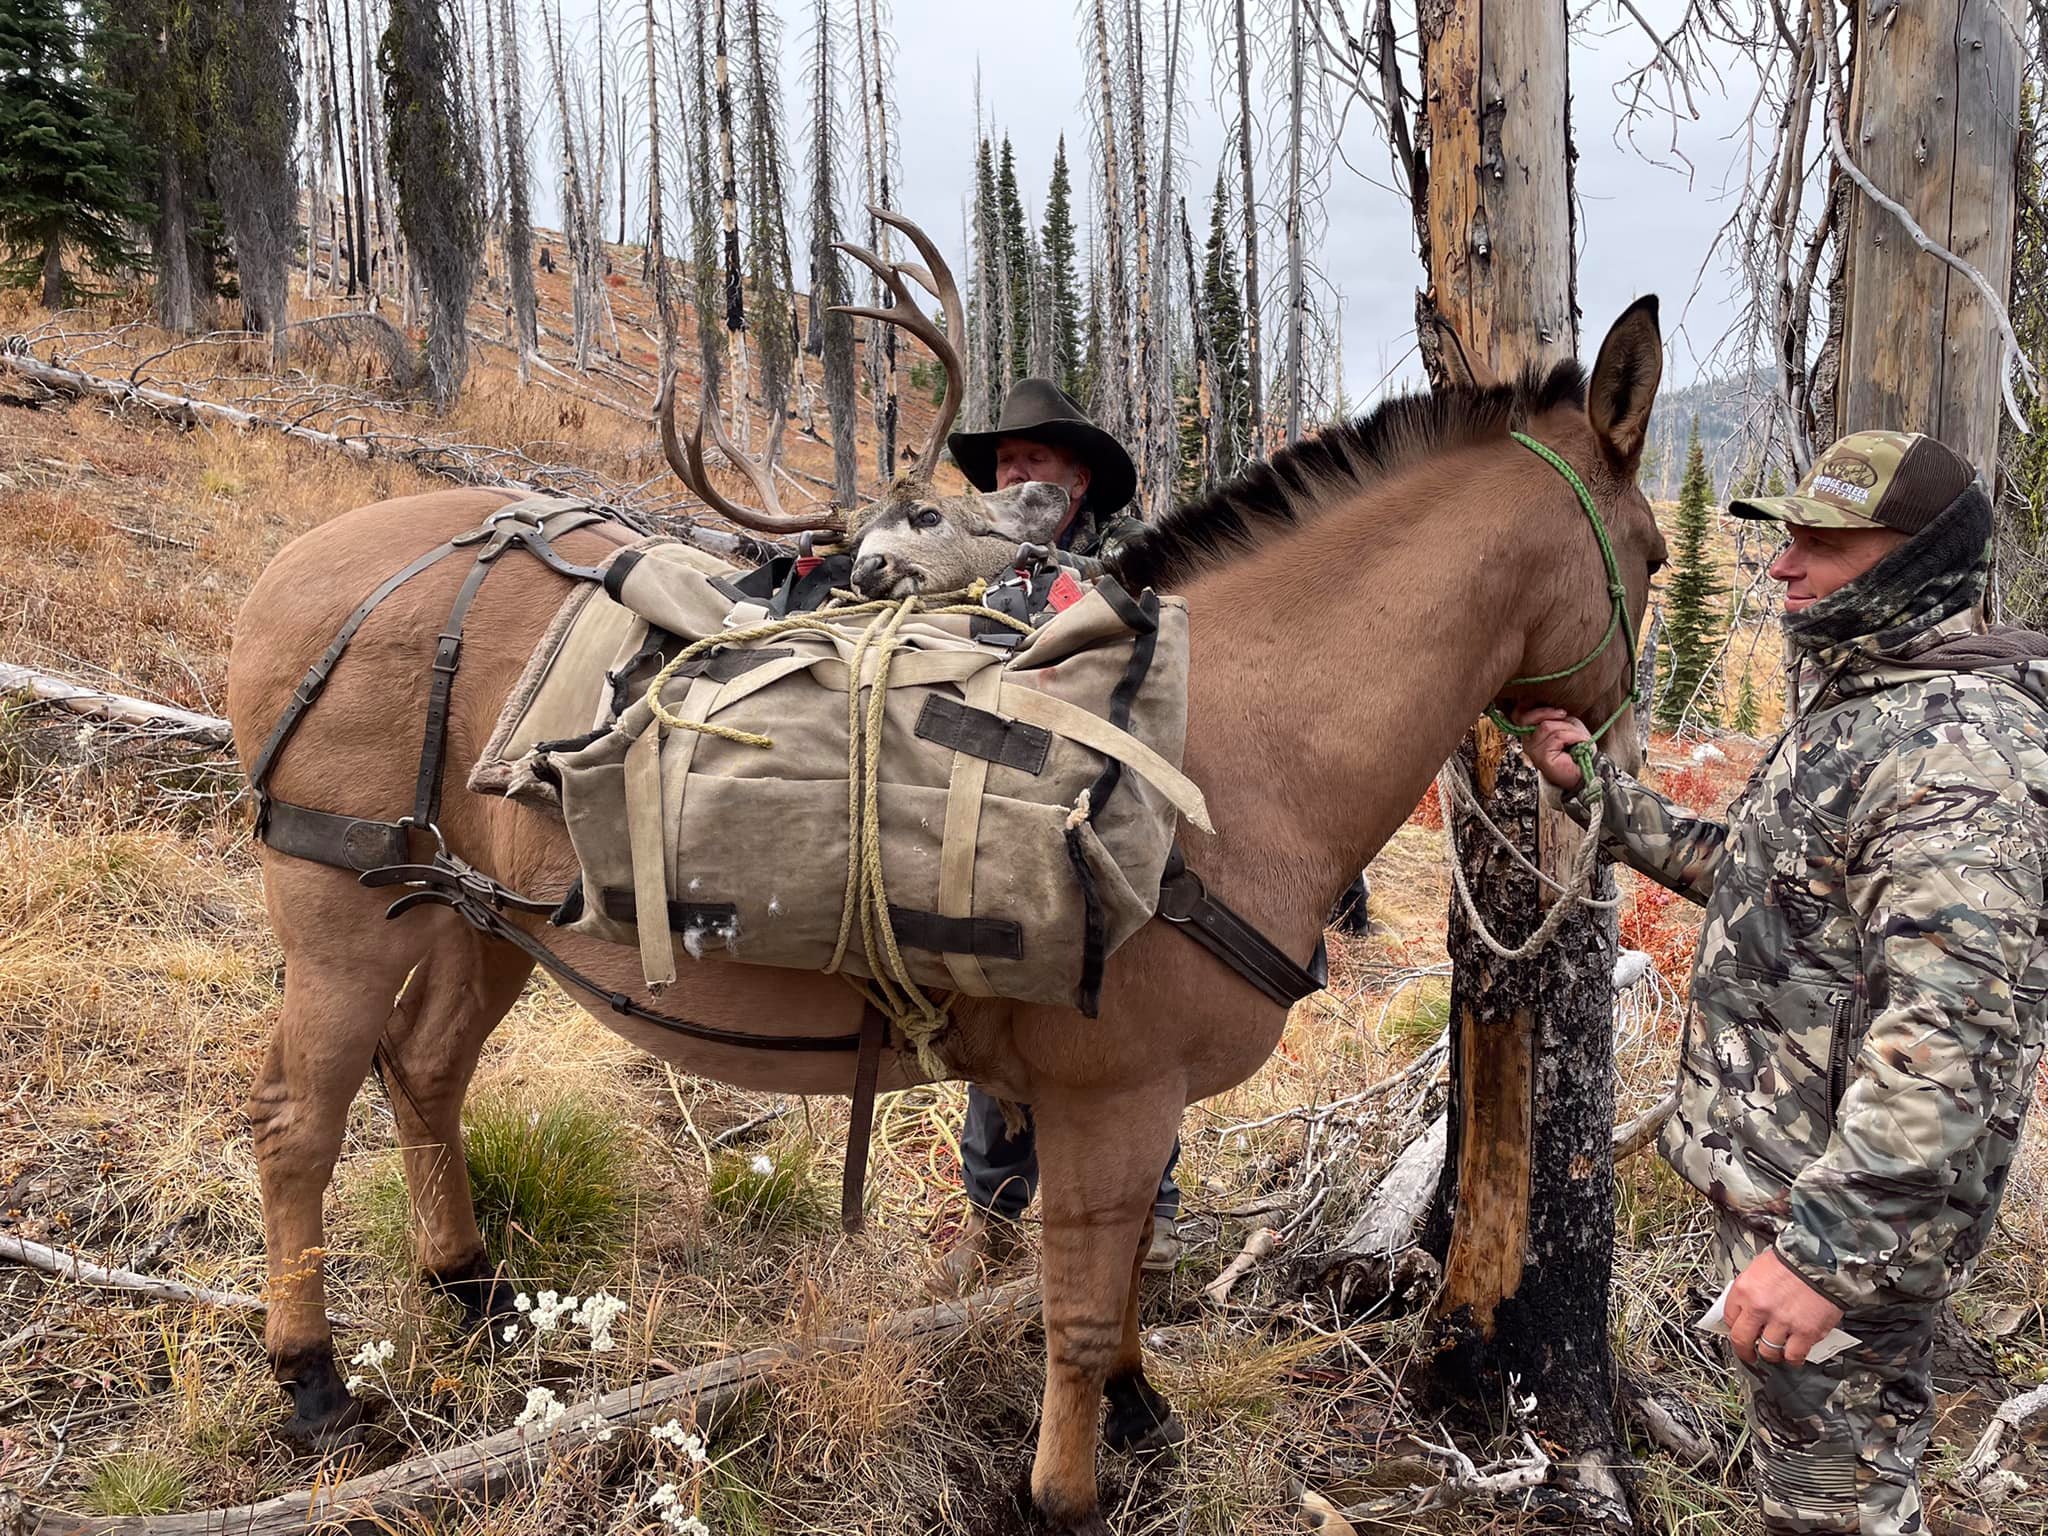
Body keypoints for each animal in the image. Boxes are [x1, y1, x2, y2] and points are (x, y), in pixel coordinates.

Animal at [224, 267, 1669, 1530]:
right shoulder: (1113, 1092)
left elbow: (1116, 1270)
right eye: (1656, 558)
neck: (1230, 737)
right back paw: (313, 1380)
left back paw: (469, 1287)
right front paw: (1065, 1495)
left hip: (483, 913)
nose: (1621, 751)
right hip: (337, 900)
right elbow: (1078, 1309)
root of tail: (294, 565)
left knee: (425, 1071)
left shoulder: (1106, 1105)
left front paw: (1138, 1412)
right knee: (298, 1121)